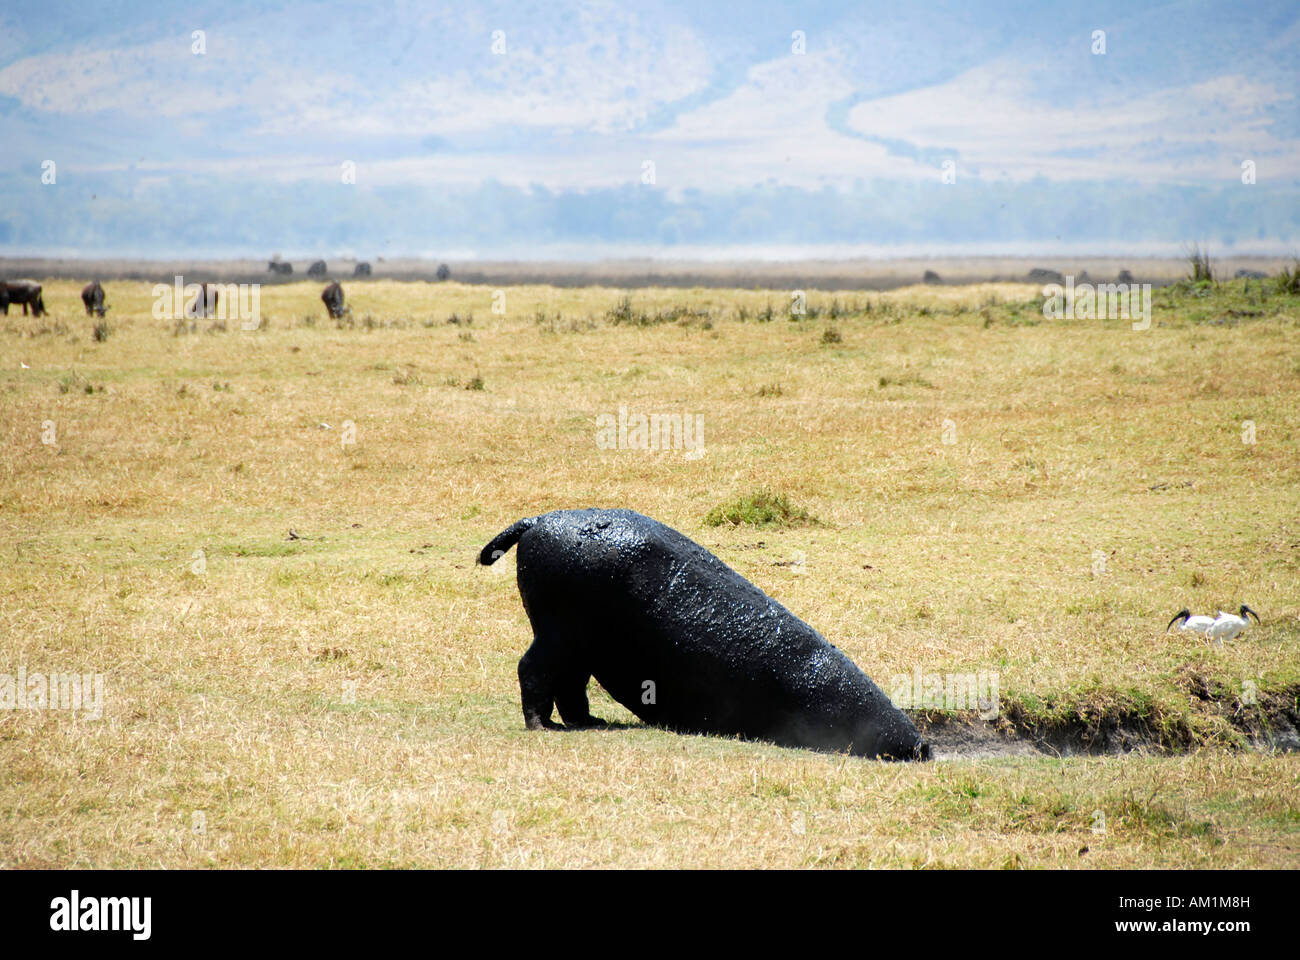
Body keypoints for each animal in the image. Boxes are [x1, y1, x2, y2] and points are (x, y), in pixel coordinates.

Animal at [478, 509, 929, 761]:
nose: (924, 747)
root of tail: (538, 520)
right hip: (558, 633)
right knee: (532, 670)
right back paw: (543, 729)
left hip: (576, 642)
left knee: (570, 685)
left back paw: (590, 722)